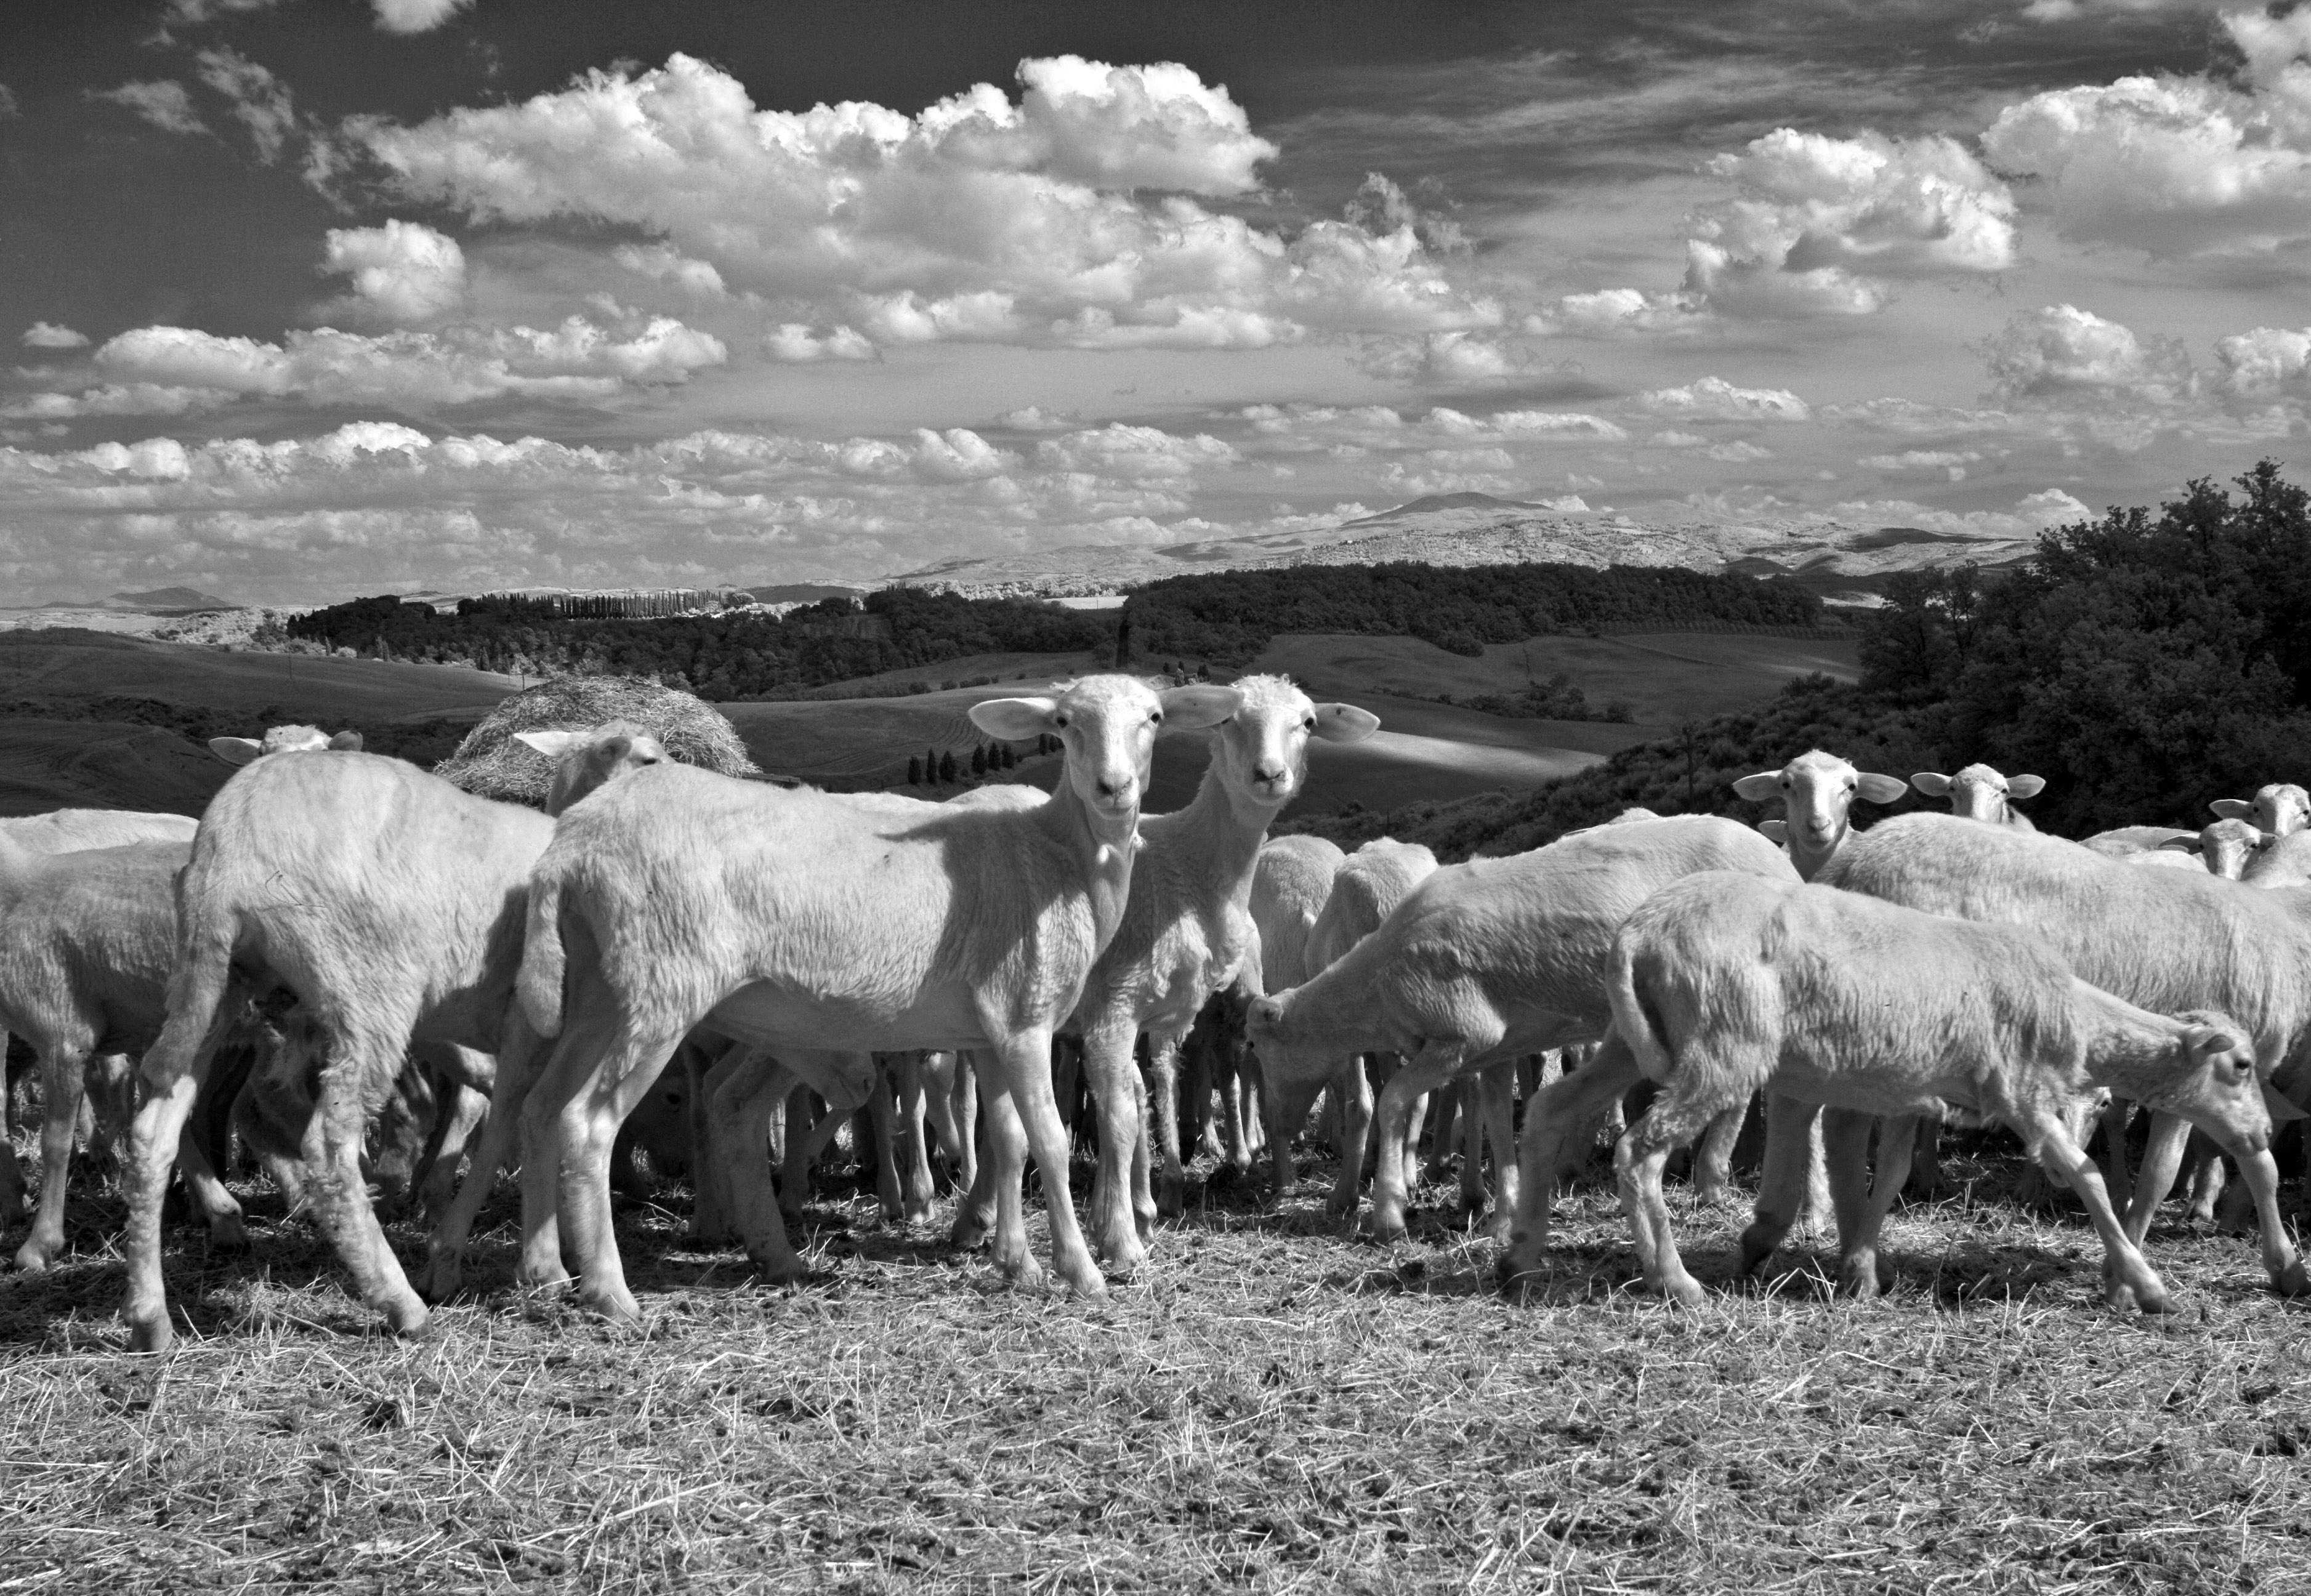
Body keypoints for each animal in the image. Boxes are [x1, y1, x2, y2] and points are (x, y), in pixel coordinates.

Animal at [115, 724, 667, 1352]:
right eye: (648, 759)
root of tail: (230, 847)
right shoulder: (527, 1023)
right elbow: (515, 1119)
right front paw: (528, 1265)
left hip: (212, 989)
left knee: (154, 1132)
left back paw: (150, 1316)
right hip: (371, 992)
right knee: (328, 1147)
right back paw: (402, 1303)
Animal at [506, 675, 1244, 1318]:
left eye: (1154, 718)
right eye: (1063, 723)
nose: (1113, 788)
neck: (1061, 858)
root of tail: (570, 846)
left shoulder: (993, 1029)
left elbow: (1006, 1140)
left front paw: (1014, 1261)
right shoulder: (1027, 1018)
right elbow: (1051, 1141)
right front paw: (1082, 1270)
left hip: (600, 995)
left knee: (543, 1107)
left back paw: (548, 1274)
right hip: (658, 987)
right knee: (588, 1123)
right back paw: (611, 1293)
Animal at [1246, 815, 1799, 1255]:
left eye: (1257, 1048)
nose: (1280, 1129)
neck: (1373, 984)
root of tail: (1781, 861)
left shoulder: (1460, 1037)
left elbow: (1394, 1100)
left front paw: (1388, 1213)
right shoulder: (1493, 1048)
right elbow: (1494, 1119)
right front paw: (1502, 1217)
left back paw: (1715, 1180)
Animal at [1603, 870, 2303, 1309]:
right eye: (2241, 1066)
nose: (2265, 1132)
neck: (2070, 1010)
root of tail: (1640, 929)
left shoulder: (1909, 1092)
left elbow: (1887, 1177)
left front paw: (1860, 1270)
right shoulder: (2020, 1091)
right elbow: (2088, 1176)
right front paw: (2149, 1287)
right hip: (1721, 1048)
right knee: (1638, 1152)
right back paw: (1675, 1282)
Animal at [1790, 813, 2311, 1297]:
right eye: (2239, 1065)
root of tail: (1850, 863)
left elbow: (2253, 1155)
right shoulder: (2194, 1080)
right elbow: (2171, 1173)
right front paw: (2130, 1275)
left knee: (1846, 1130)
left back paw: (1859, 1255)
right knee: (1846, 1131)